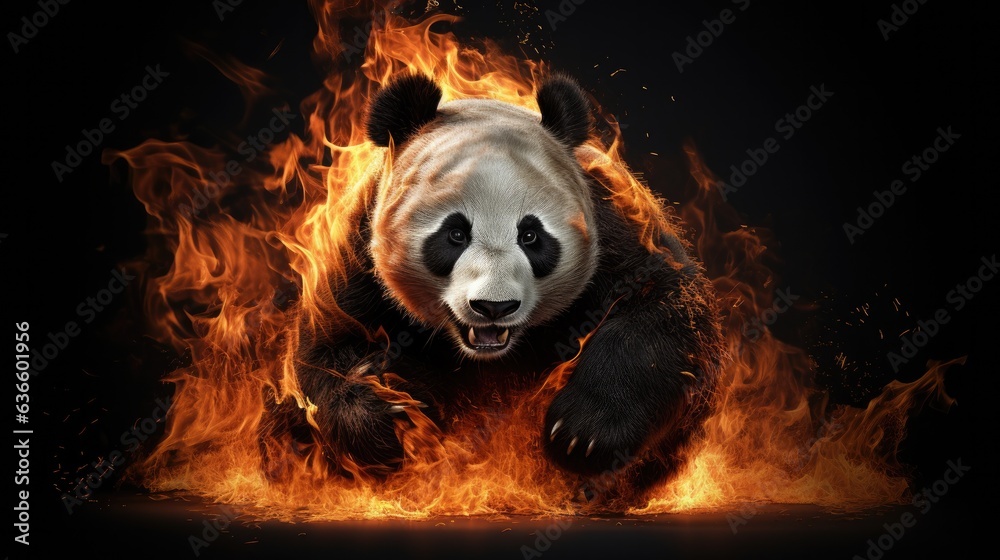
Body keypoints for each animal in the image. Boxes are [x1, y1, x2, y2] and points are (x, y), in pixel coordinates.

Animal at [291, 72, 724, 491]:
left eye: (530, 235)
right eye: (456, 234)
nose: (493, 307)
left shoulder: (614, 225)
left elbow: (665, 309)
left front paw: (583, 434)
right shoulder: (357, 258)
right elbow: (328, 352)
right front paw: (390, 421)